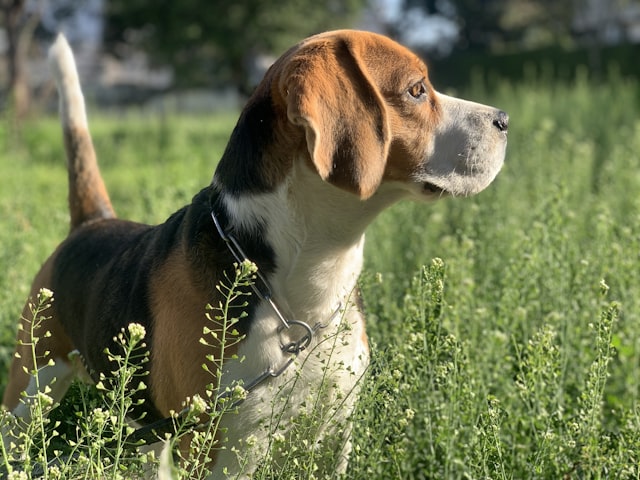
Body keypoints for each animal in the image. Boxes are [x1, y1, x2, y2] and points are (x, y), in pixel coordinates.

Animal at [2, 31, 508, 476]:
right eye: (416, 90)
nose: (504, 119)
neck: (304, 295)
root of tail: (93, 222)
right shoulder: (223, 451)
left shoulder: (336, 436)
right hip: (28, 396)